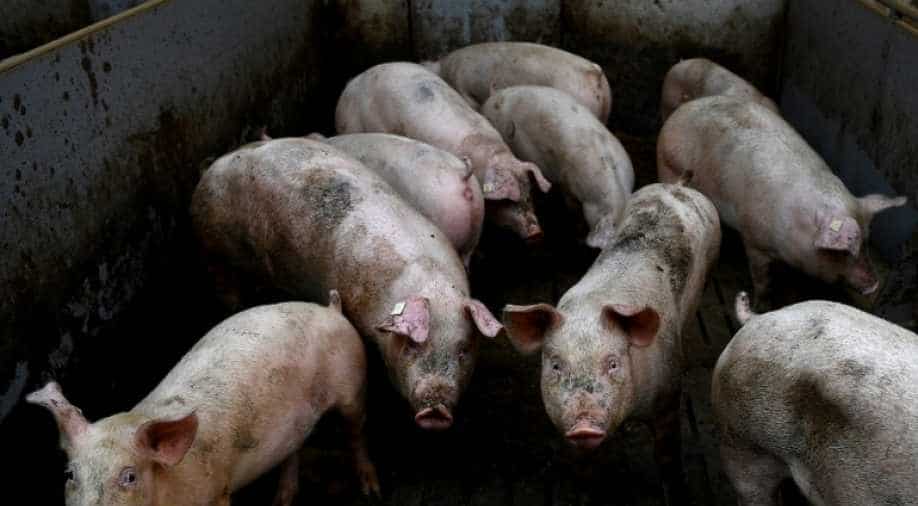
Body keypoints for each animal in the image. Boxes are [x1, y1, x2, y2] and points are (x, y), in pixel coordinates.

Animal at [27, 296, 379, 506]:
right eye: (69, 474)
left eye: (129, 477)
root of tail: (331, 310)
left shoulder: (216, 490)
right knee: (293, 450)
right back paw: (281, 501)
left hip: (354, 384)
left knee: (356, 432)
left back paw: (370, 489)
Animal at [502, 181, 720, 499]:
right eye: (556, 366)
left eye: (613, 363)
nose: (584, 424)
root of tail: (677, 185)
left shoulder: (668, 394)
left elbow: (667, 454)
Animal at [658, 96, 907, 308]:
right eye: (844, 251)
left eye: (867, 241)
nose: (875, 284)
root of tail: (681, 111)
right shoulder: (754, 239)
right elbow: (763, 280)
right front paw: (763, 305)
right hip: (669, 167)